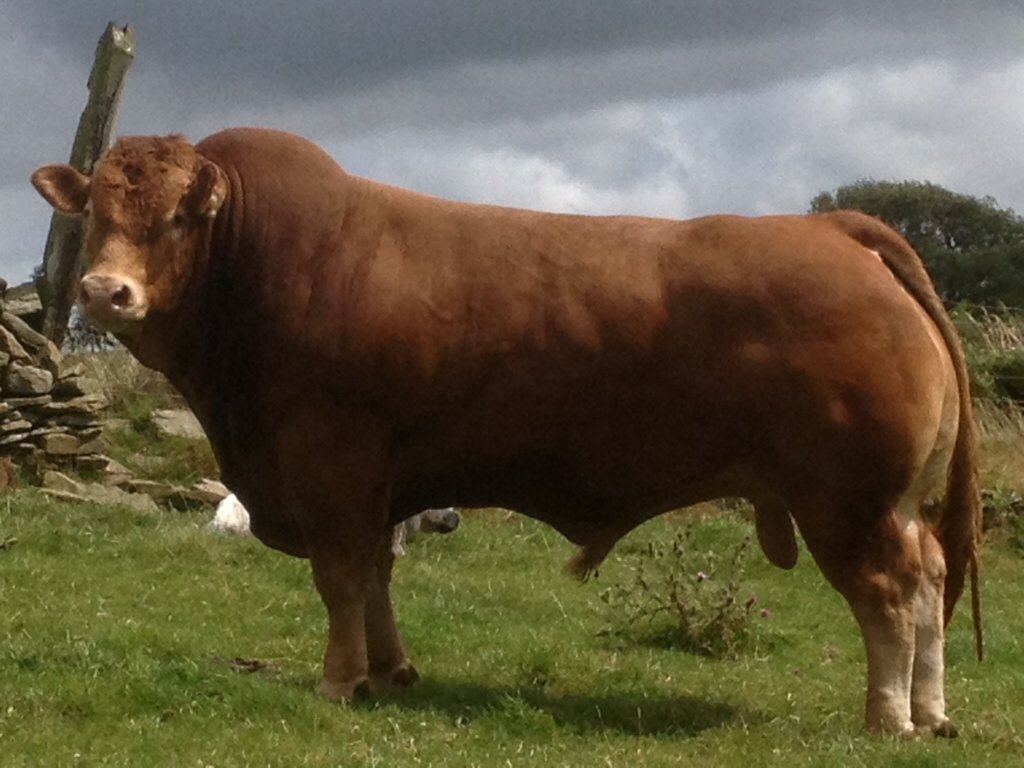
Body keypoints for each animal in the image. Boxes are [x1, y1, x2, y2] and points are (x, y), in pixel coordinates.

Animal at [32, 127, 981, 736]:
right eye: (98, 212)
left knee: (891, 594)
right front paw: (389, 672)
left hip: (851, 504)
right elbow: (377, 577)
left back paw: (889, 717)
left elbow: (340, 579)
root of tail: (835, 229)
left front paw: (340, 680)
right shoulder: (384, 486)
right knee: (931, 579)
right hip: (893, 504)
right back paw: (933, 711)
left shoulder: (331, 467)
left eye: (177, 217)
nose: (106, 291)